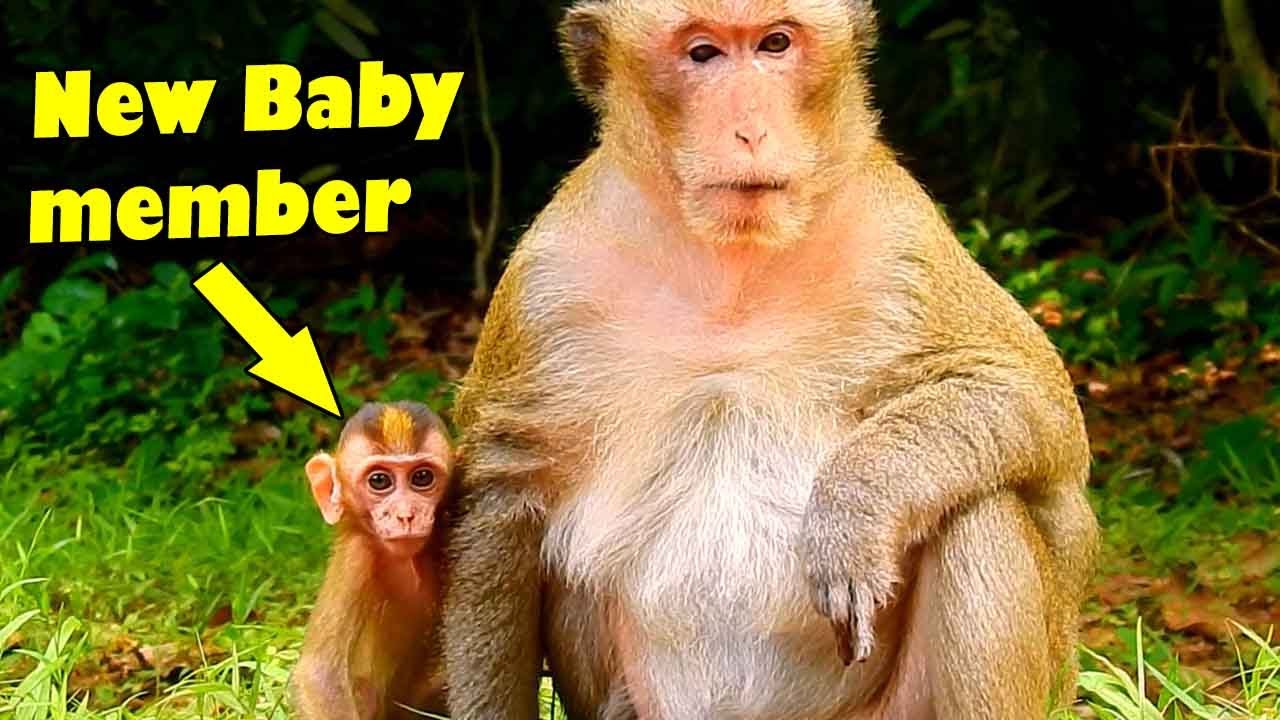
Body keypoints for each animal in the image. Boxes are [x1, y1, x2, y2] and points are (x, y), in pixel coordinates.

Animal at [442, 2, 1099, 719]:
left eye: (776, 43)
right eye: (703, 53)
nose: (751, 130)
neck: (733, 267)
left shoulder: (901, 240)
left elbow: (1028, 402)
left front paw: (853, 512)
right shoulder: (547, 278)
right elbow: (504, 490)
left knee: (977, 509)